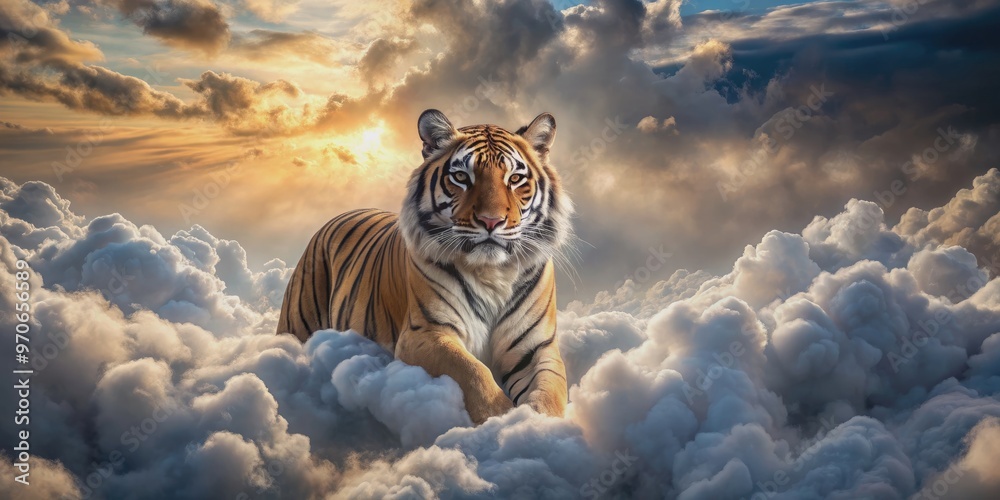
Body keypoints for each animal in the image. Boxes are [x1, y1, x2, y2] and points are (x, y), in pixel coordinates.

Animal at [277, 109, 573, 424]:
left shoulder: (537, 348)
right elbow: (473, 373)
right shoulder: (425, 334)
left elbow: (549, 394)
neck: (492, 272)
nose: (491, 221)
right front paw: (501, 421)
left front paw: (534, 426)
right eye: (461, 177)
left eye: (515, 178)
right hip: (297, 323)